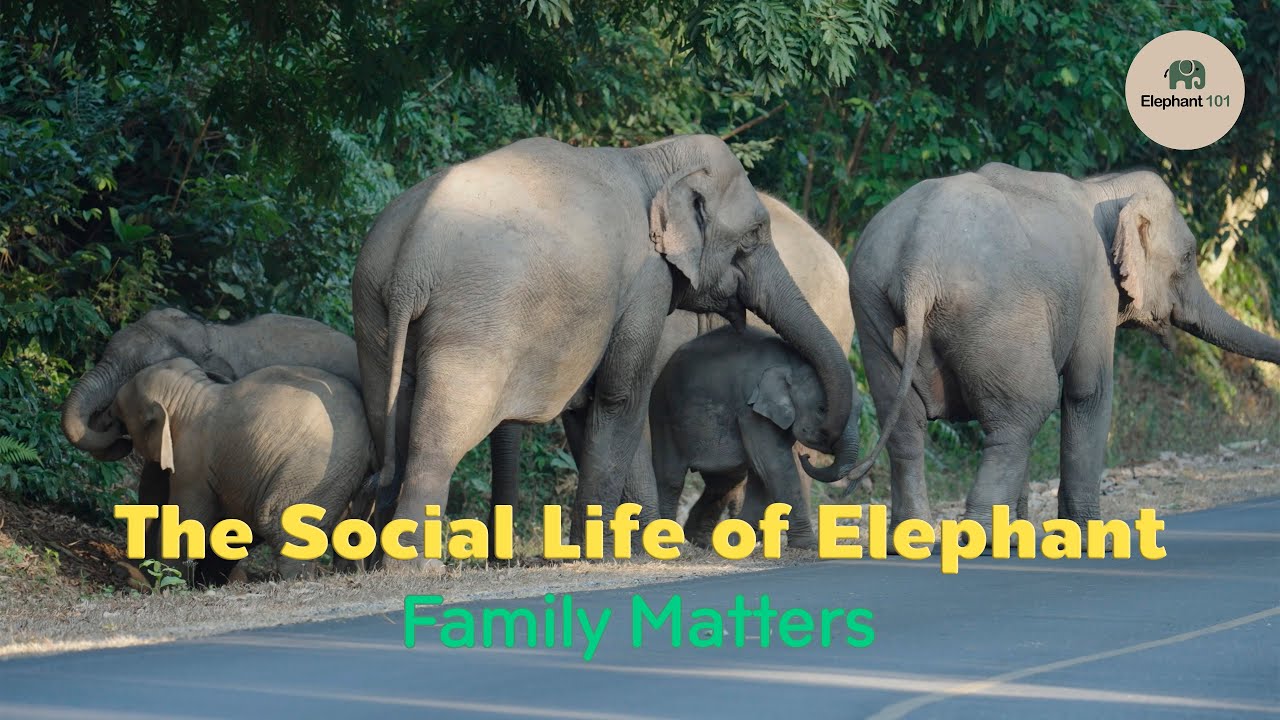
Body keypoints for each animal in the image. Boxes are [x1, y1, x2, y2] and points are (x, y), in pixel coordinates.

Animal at [111, 358, 375, 579]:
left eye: (119, 414)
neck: (193, 393)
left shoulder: (192, 464)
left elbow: (189, 522)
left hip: (317, 468)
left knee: (277, 519)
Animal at [650, 326, 862, 548]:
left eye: (859, 412)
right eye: (822, 409)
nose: (806, 456)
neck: (790, 362)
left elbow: (762, 472)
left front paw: (738, 542)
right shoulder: (750, 410)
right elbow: (774, 465)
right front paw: (808, 545)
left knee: (725, 481)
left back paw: (700, 541)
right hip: (662, 414)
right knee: (671, 479)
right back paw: (667, 541)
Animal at [847, 163, 1280, 539]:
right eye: (1188, 257)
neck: (1104, 187)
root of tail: (918, 265)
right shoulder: (1098, 289)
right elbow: (1088, 391)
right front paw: (1094, 541)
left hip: (875, 310)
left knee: (909, 425)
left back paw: (912, 541)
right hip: (994, 315)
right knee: (1023, 413)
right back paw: (979, 540)